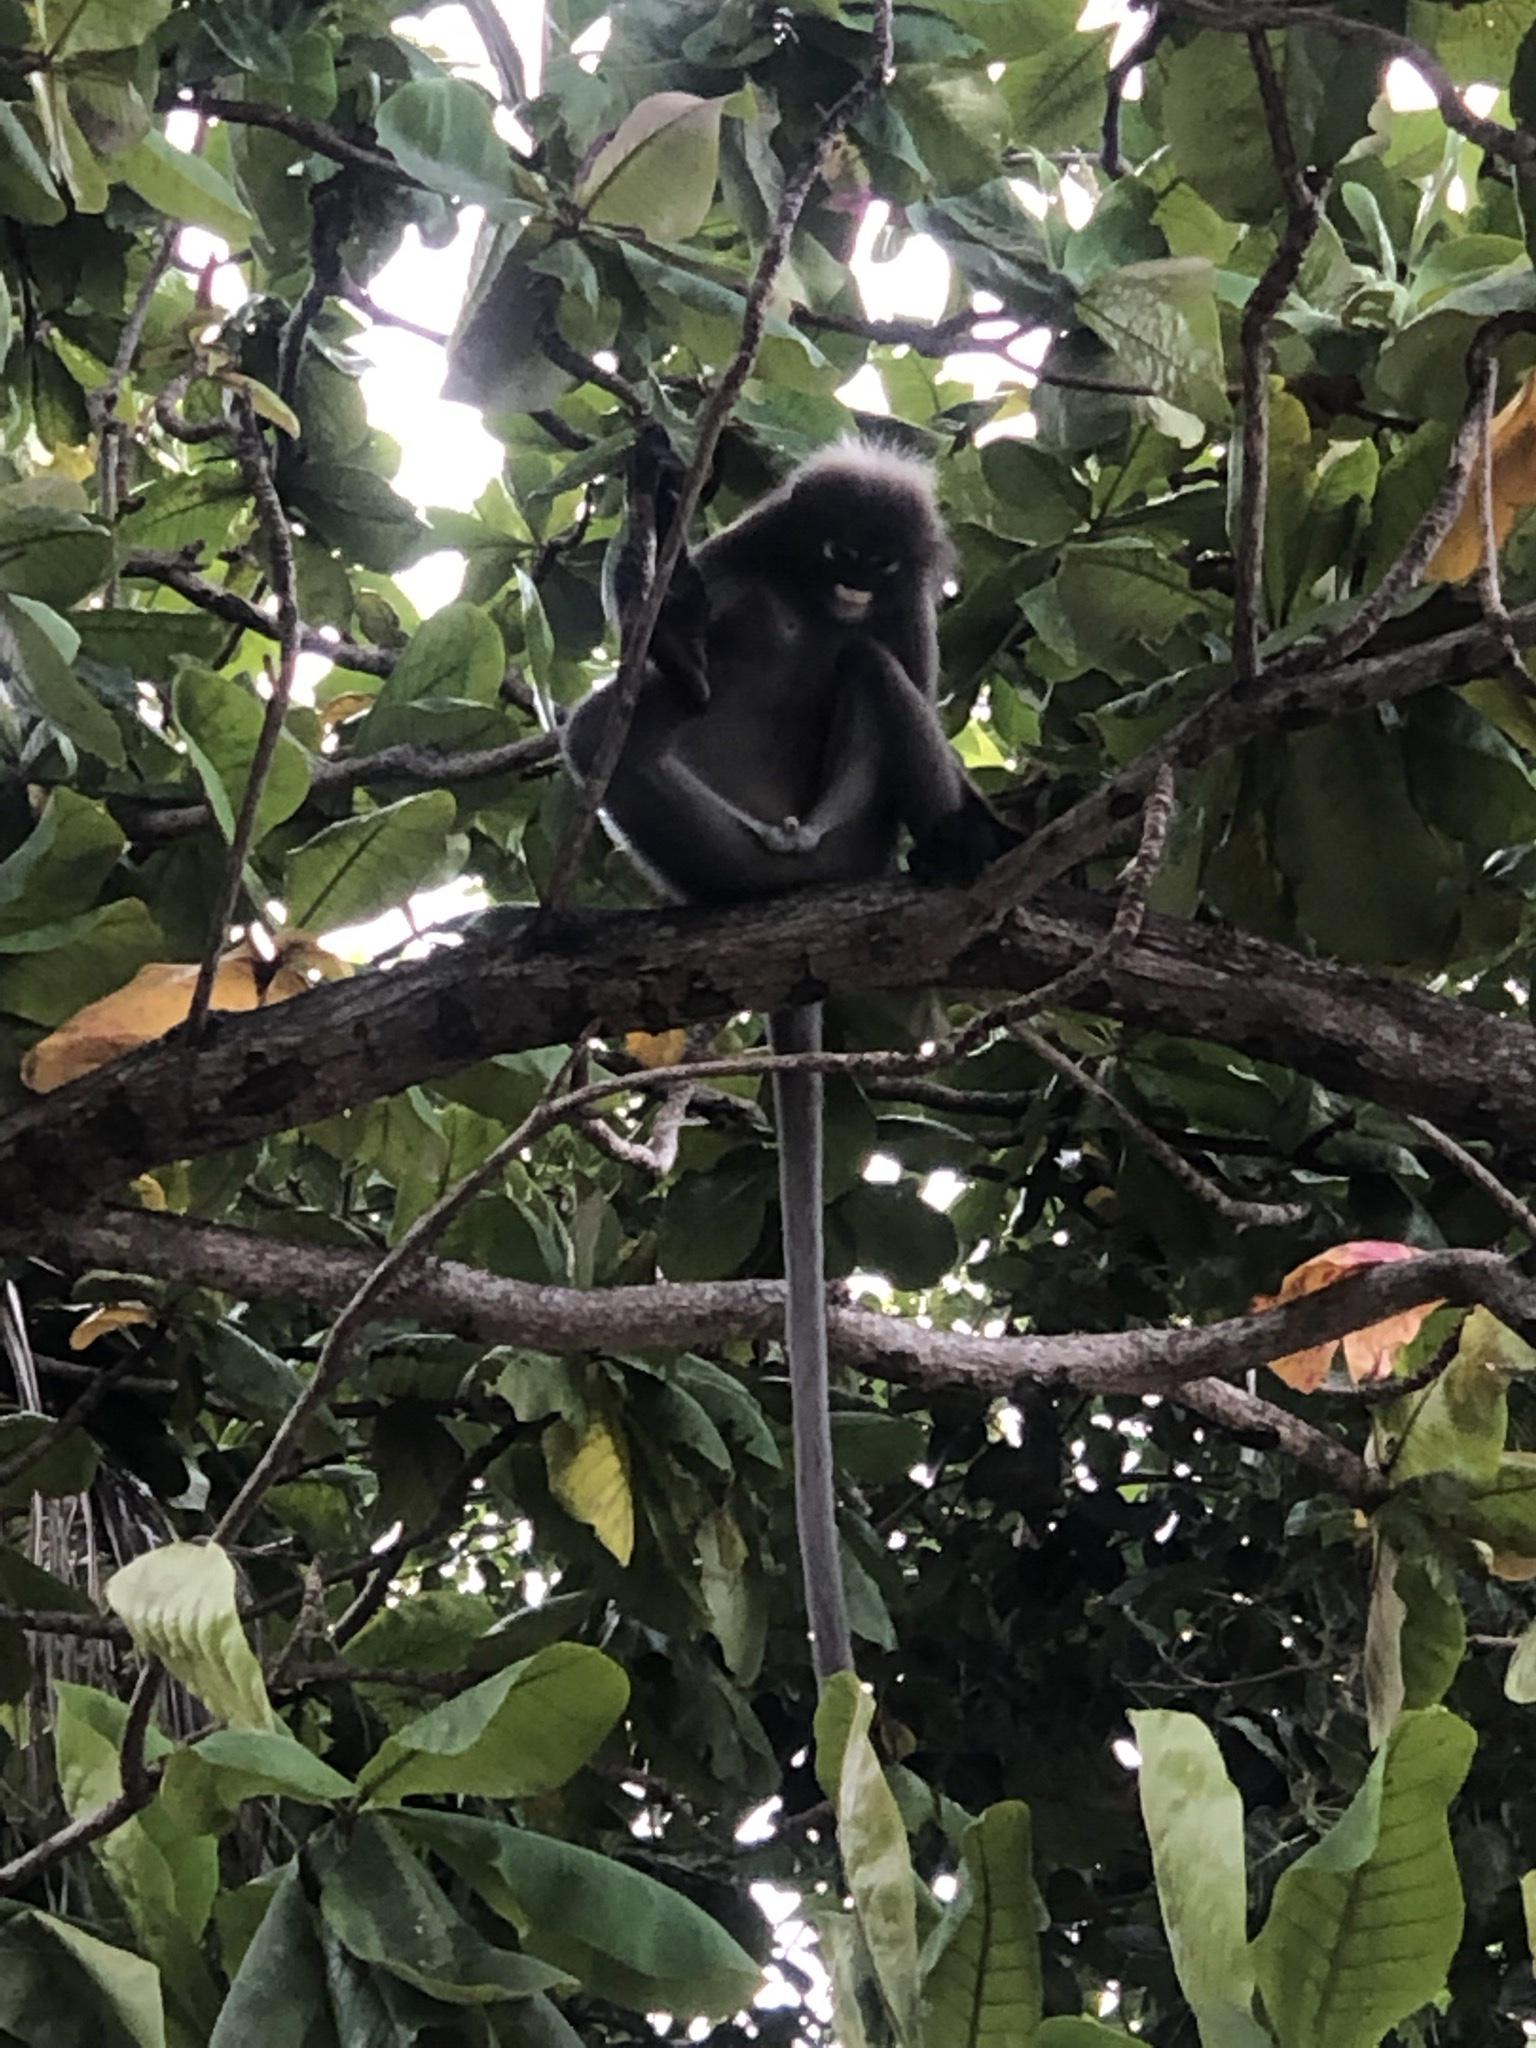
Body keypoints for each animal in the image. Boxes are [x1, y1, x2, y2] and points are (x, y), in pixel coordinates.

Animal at [563, 438, 1017, 1686]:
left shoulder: (911, 606)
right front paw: (654, 504)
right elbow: (663, 619)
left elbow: (902, 666)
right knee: (612, 719)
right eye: (833, 549)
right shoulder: (763, 539)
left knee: (870, 674)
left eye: (879, 559)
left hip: (851, 835)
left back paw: (954, 840)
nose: (855, 585)